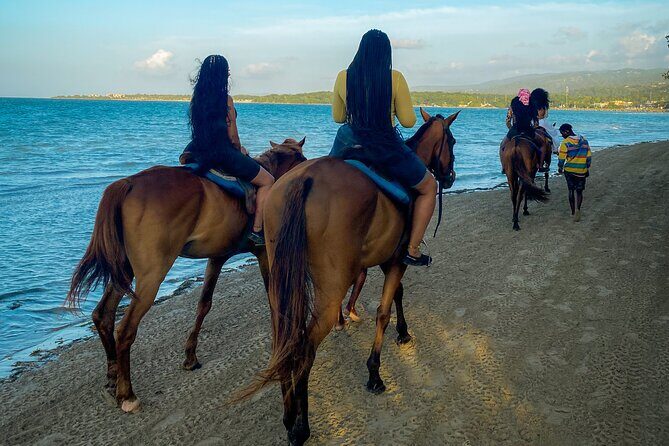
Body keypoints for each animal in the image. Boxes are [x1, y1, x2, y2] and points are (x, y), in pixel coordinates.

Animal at [66, 138, 306, 413]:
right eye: (303, 159)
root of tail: (129, 183)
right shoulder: (264, 251)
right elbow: (273, 295)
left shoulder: (217, 257)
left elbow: (204, 304)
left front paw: (190, 356)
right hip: (151, 276)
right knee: (125, 330)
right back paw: (127, 394)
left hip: (123, 270)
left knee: (103, 315)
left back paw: (112, 378)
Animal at [248, 108, 458, 445]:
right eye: (451, 141)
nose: (450, 176)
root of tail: (305, 179)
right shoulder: (397, 260)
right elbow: (384, 310)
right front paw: (375, 372)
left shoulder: (387, 259)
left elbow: (398, 294)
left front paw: (403, 332)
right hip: (329, 291)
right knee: (304, 347)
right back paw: (301, 427)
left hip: (282, 283)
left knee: (284, 338)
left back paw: (288, 414)